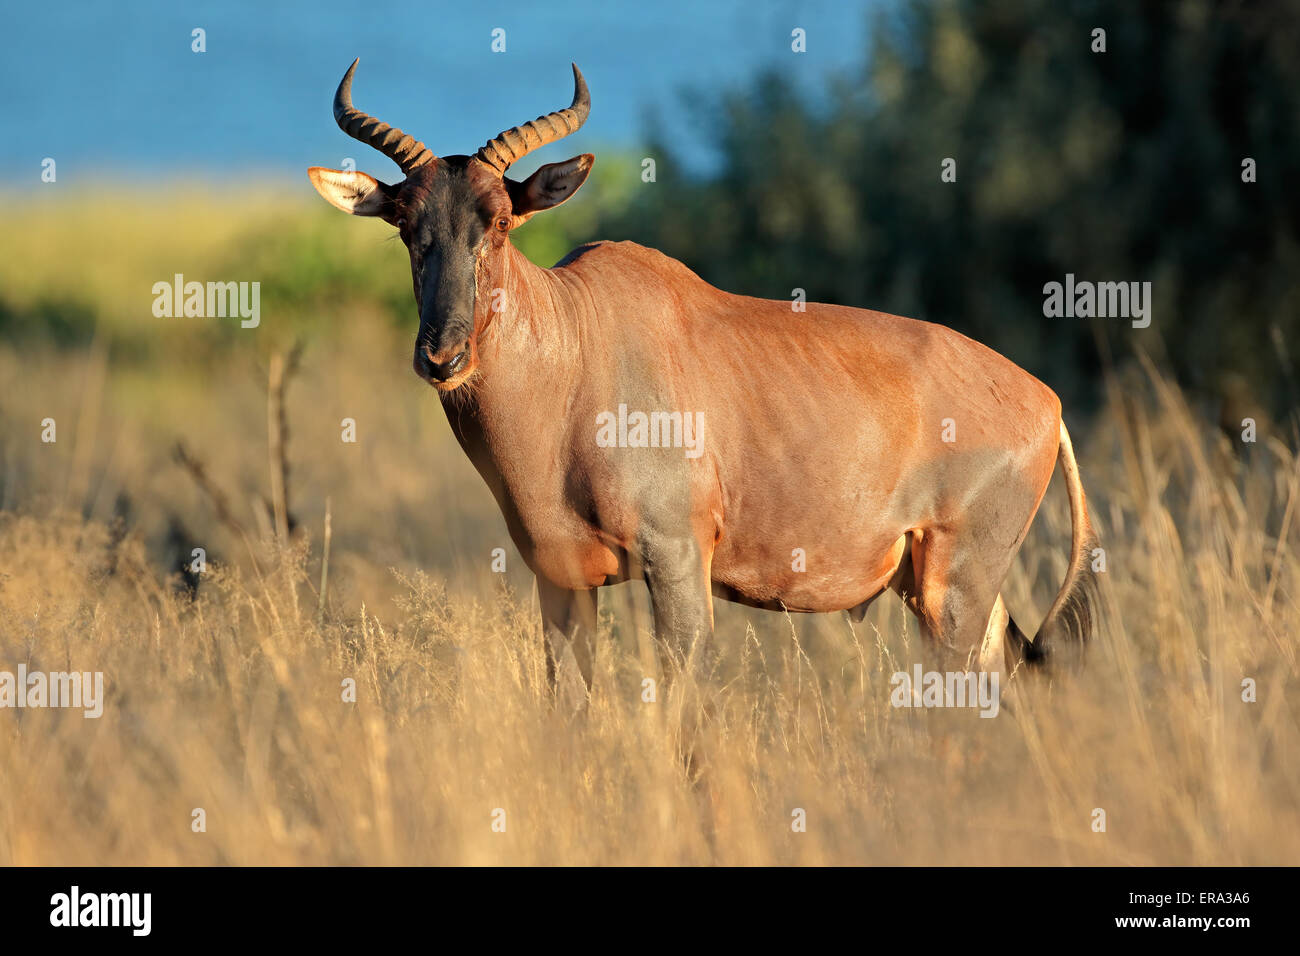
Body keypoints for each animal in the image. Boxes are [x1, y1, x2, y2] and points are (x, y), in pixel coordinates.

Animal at [308, 61, 1096, 715]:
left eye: (501, 220)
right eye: (405, 224)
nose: (442, 357)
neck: (577, 343)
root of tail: (1047, 402)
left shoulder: (678, 561)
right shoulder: (560, 582)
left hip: (954, 588)